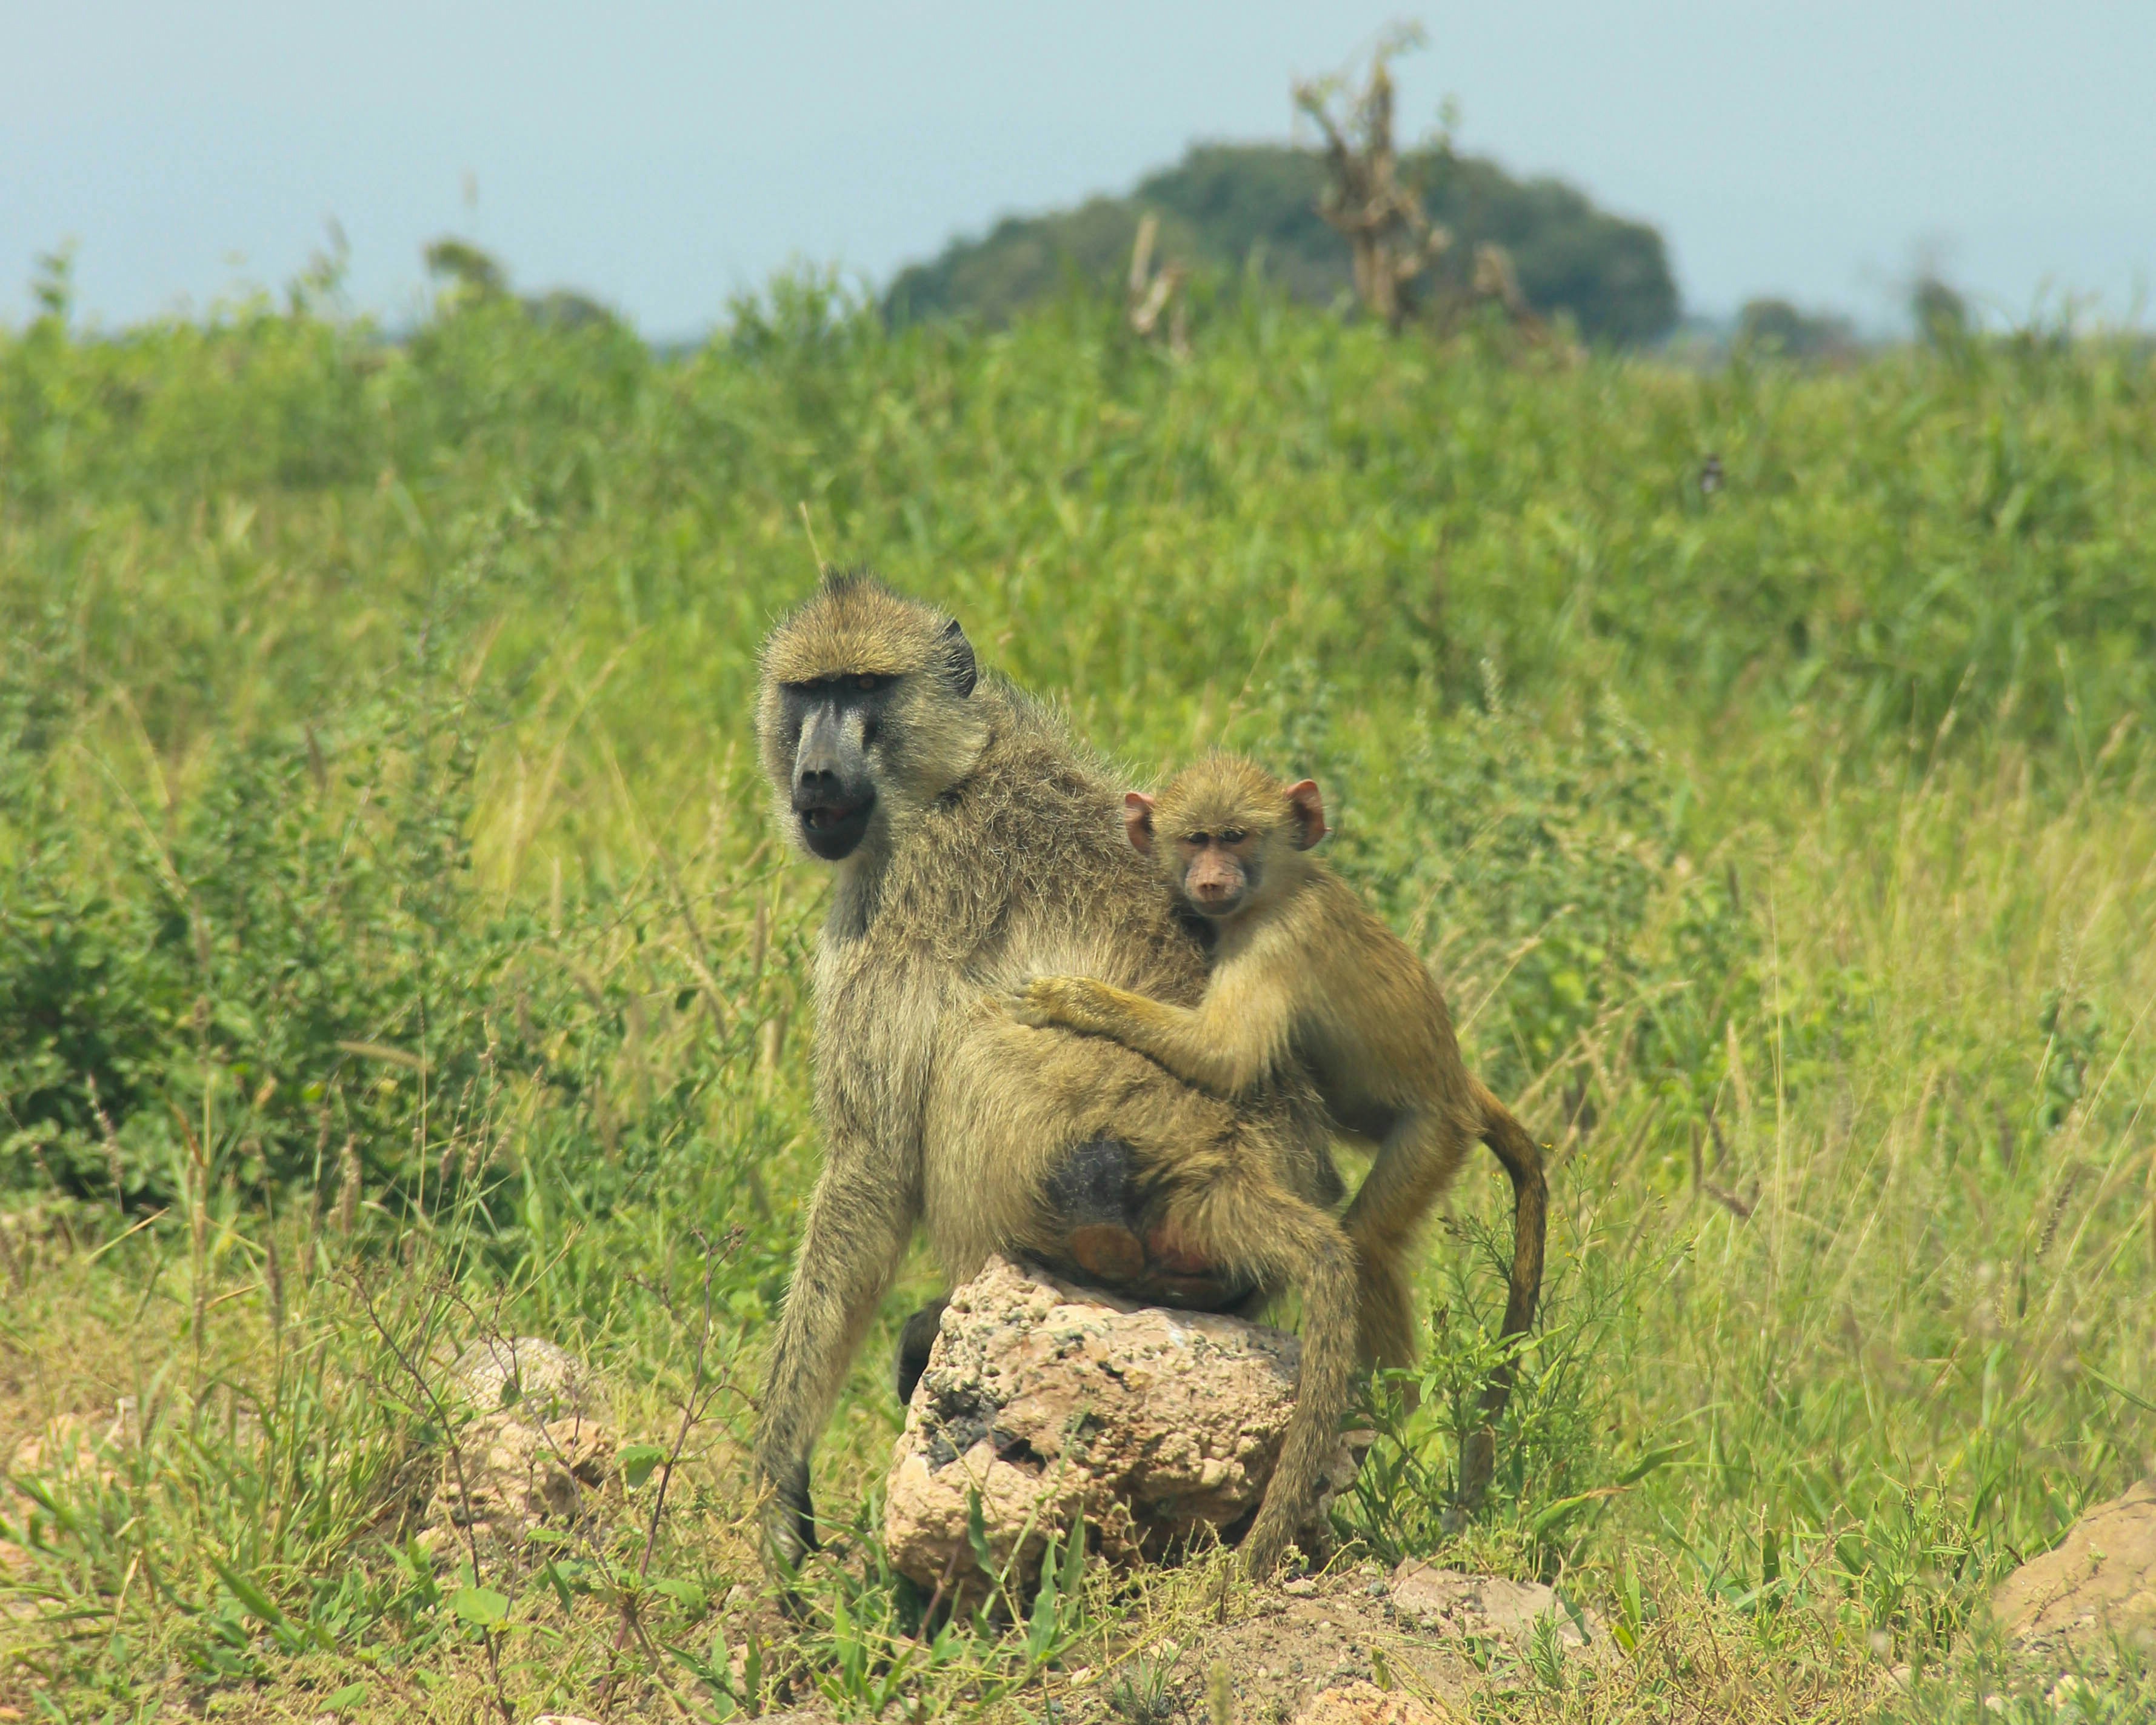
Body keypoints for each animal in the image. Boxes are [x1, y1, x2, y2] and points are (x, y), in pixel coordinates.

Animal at [753, 571, 1358, 1582]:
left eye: (866, 688)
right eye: (810, 692)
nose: (819, 775)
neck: (952, 774)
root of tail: (1240, 1171)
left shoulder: (907, 892)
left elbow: (870, 1163)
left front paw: (776, 1472)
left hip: (1105, 1125)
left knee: (974, 1045)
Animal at [1013, 754, 1547, 1510]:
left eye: (1235, 836)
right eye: (1195, 839)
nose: (1210, 878)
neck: (1275, 889)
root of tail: (1455, 1079)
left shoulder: (1278, 939)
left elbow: (1225, 1057)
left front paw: (1070, 999)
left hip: (1433, 1132)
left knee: (1368, 1242)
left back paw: (1383, 1410)